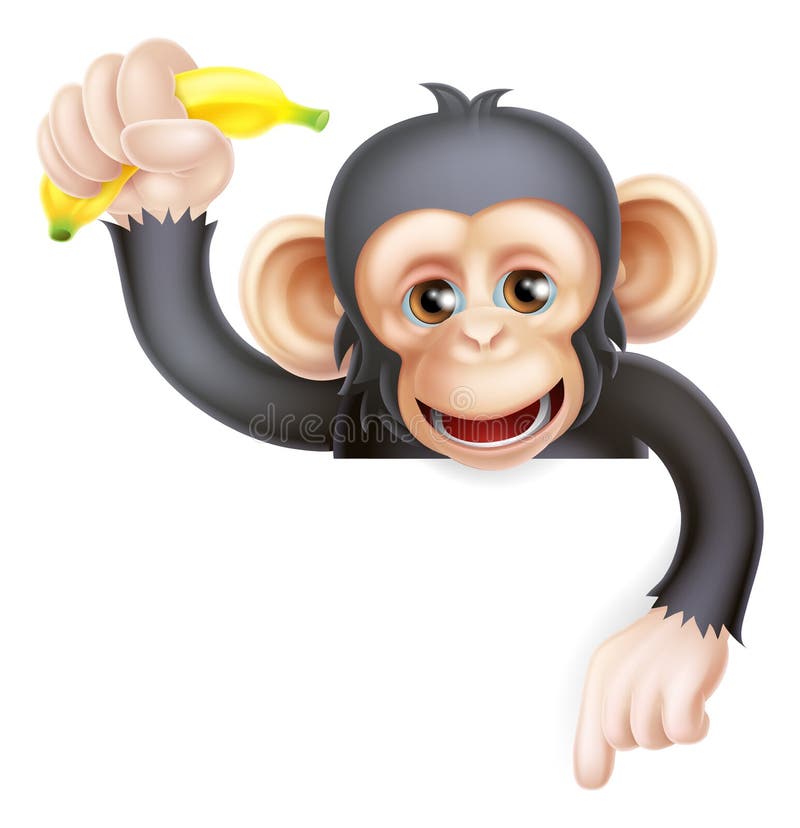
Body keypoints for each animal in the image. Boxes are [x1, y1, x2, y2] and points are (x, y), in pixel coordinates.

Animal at [38, 39, 761, 789]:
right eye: (431, 301)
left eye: (528, 290)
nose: (482, 338)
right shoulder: (346, 409)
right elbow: (214, 368)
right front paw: (149, 171)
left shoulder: (643, 392)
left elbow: (721, 479)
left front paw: (659, 660)